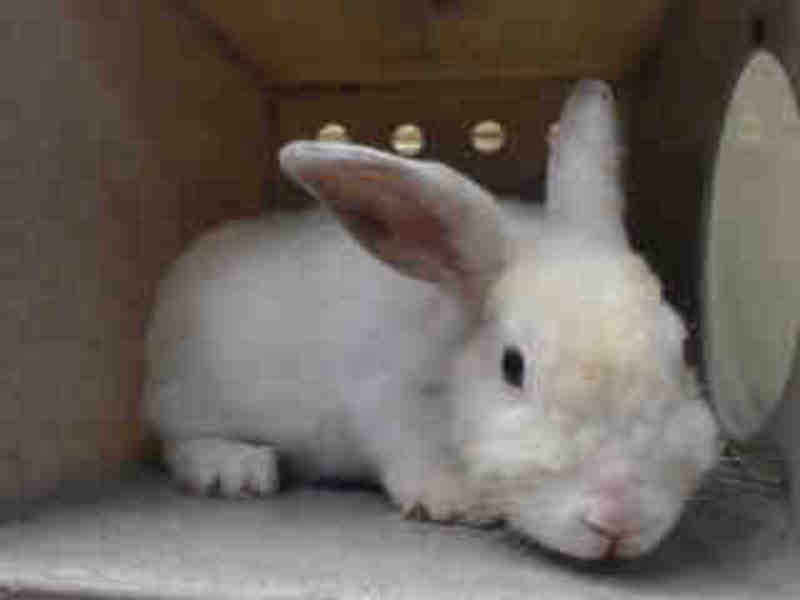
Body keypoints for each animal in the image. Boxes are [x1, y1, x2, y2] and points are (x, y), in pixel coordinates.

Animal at [143, 80, 720, 560]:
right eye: (512, 367)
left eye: (682, 353)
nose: (618, 520)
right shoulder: (385, 398)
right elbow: (408, 451)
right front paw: (455, 501)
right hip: (191, 397)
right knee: (177, 441)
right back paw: (236, 469)